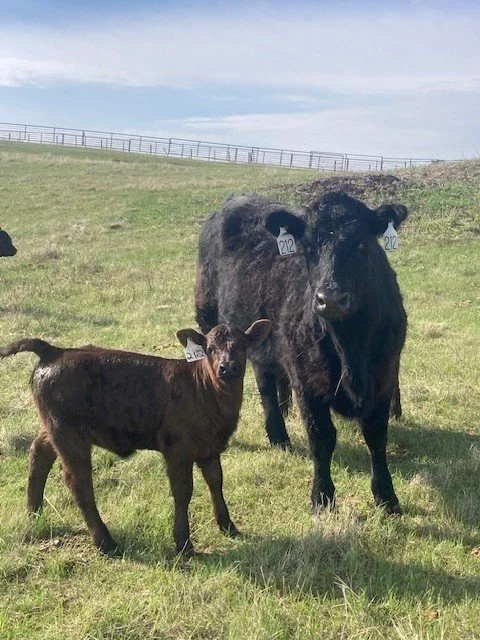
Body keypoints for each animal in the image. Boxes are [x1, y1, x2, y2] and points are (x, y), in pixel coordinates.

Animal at [195, 191, 408, 514]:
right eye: (307, 246)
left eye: (362, 243)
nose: (330, 299)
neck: (349, 347)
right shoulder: (306, 380)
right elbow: (321, 437)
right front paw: (322, 496)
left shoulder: (384, 374)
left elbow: (376, 435)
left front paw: (386, 497)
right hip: (207, 319)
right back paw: (276, 434)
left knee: (265, 379)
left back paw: (278, 431)